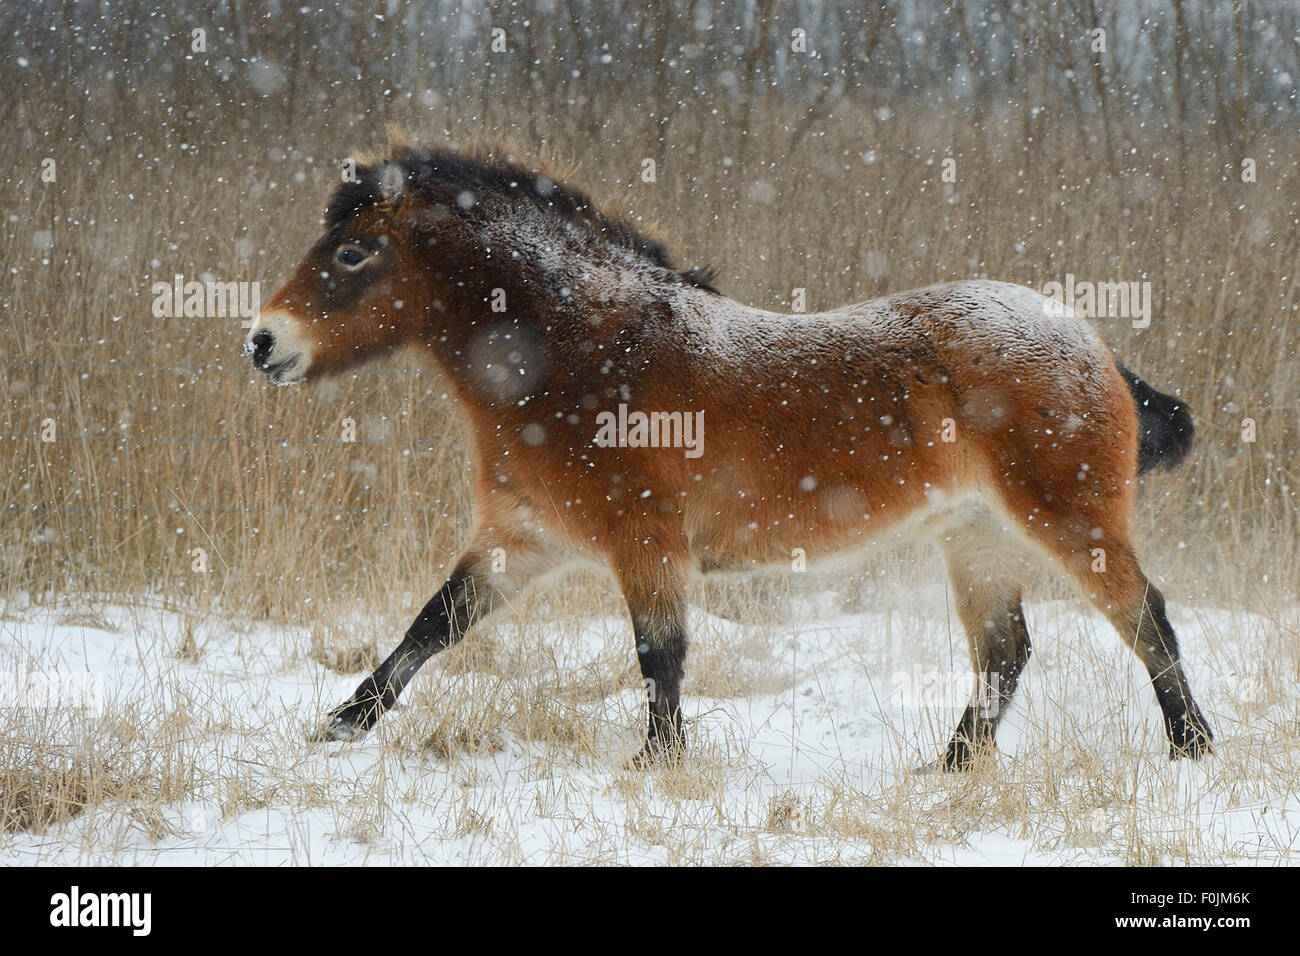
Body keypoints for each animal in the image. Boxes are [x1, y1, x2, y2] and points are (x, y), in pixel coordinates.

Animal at [243, 139, 1213, 770]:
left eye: (354, 252)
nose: (262, 342)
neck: (587, 356)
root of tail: (1088, 340)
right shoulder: (522, 540)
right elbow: (430, 626)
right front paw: (339, 727)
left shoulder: (644, 543)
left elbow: (660, 655)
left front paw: (658, 766)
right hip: (977, 537)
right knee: (1006, 653)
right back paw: (948, 770)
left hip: (1067, 520)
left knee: (1145, 618)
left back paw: (1190, 749)